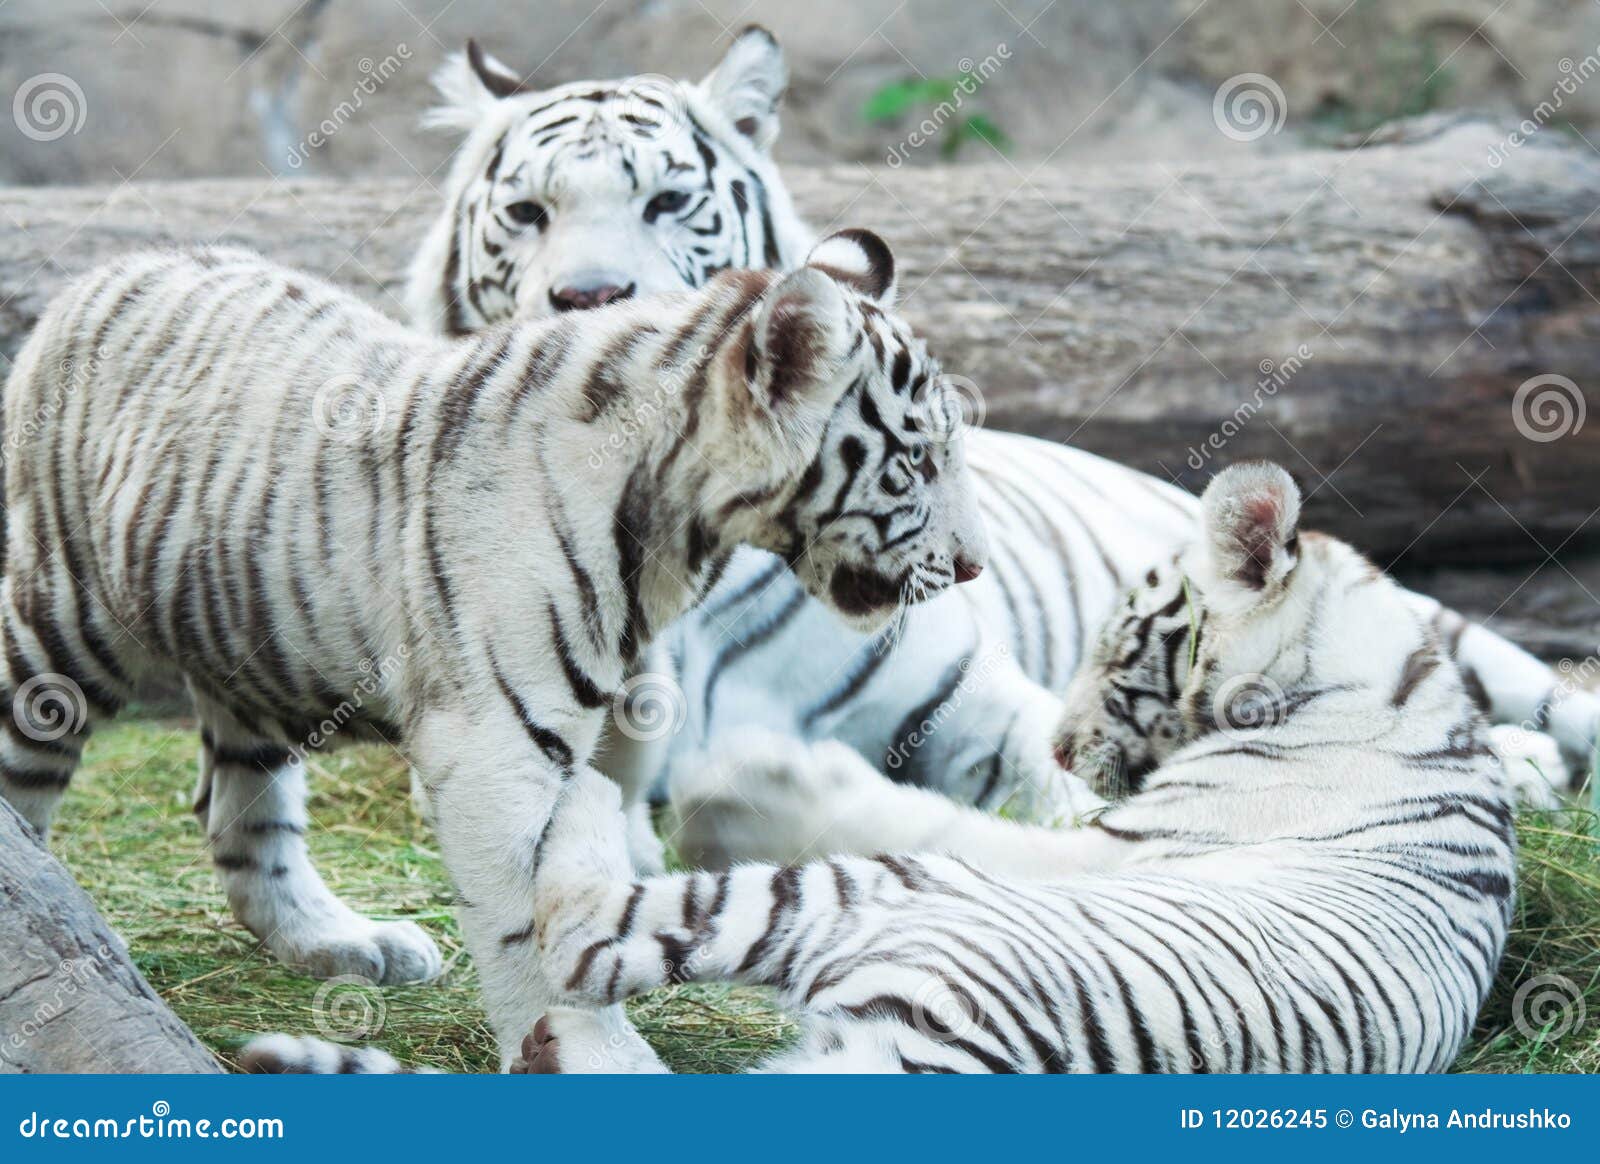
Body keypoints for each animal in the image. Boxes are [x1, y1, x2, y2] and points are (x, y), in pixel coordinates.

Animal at [0, 228, 986, 1067]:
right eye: (916, 463)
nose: (973, 564)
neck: (678, 532)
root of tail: (102, 273)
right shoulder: (496, 747)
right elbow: (530, 925)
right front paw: (595, 1056)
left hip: (247, 646)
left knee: (245, 822)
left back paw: (350, 942)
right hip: (60, 624)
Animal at [244, 461, 1519, 1074]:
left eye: (1118, 642)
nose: (1063, 744)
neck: (1368, 681)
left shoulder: (1101, 851)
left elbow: (927, 813)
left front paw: (758, 784)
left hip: (873, 908)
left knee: (584, 933)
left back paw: (600, 819)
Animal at [405, 27, 1600, 864]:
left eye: (666, 201)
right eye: (526, 212)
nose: (588, 297)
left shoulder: (976, 707)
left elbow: (1061, 782)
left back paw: (1529, 757)